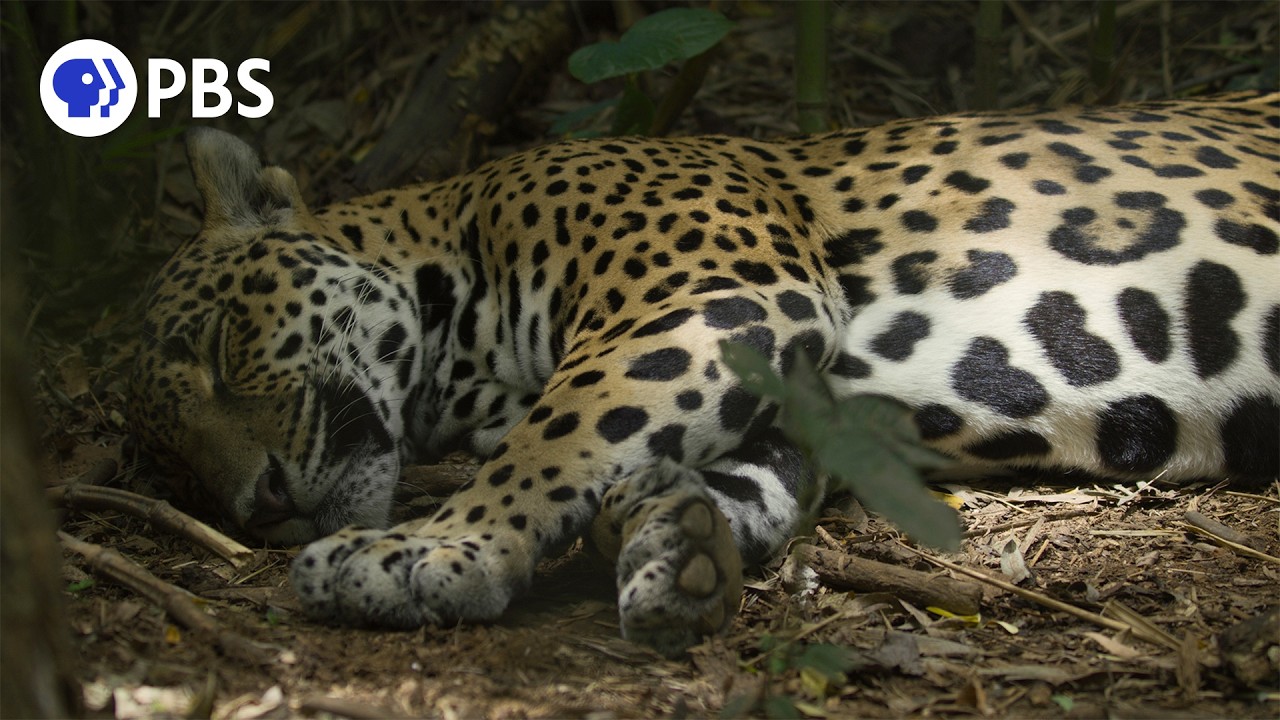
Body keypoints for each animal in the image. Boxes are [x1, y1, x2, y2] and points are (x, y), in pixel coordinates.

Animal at [130, 92, 1280, 657]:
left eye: (223, 346)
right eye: (176, 469)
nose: (260, 504)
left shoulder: (717, 299)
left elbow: (559, 437)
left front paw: (429, 550)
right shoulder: (801, 398)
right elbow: (717, 473)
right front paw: (678, 543)